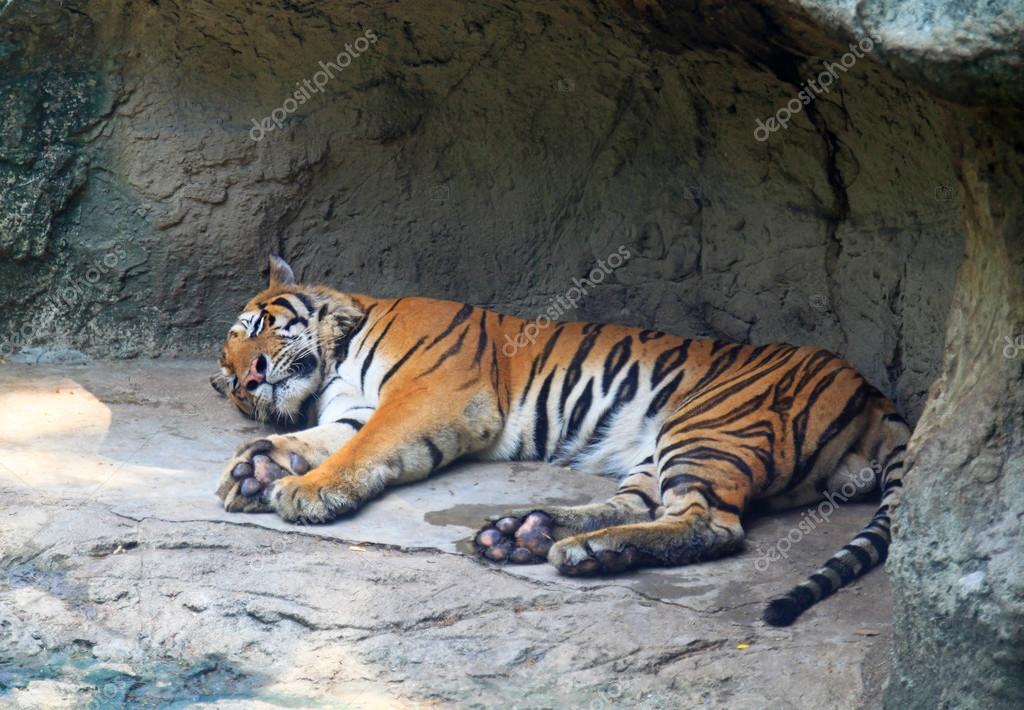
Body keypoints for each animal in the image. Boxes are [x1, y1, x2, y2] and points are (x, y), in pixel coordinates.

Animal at [212, 256, 908, 626]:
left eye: (257, 327)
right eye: (231, 379)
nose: (248, 379)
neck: (336, 357)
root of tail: (873, 393)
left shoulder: (427, 397)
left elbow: (361, 450)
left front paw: (304, 491)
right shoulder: (359, 410)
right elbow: (323, 439)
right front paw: (256, 470)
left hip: (708, 425)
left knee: (711, 524)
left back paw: (577, 548)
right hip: (664, 446)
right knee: (643, 505)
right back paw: (532, 533)